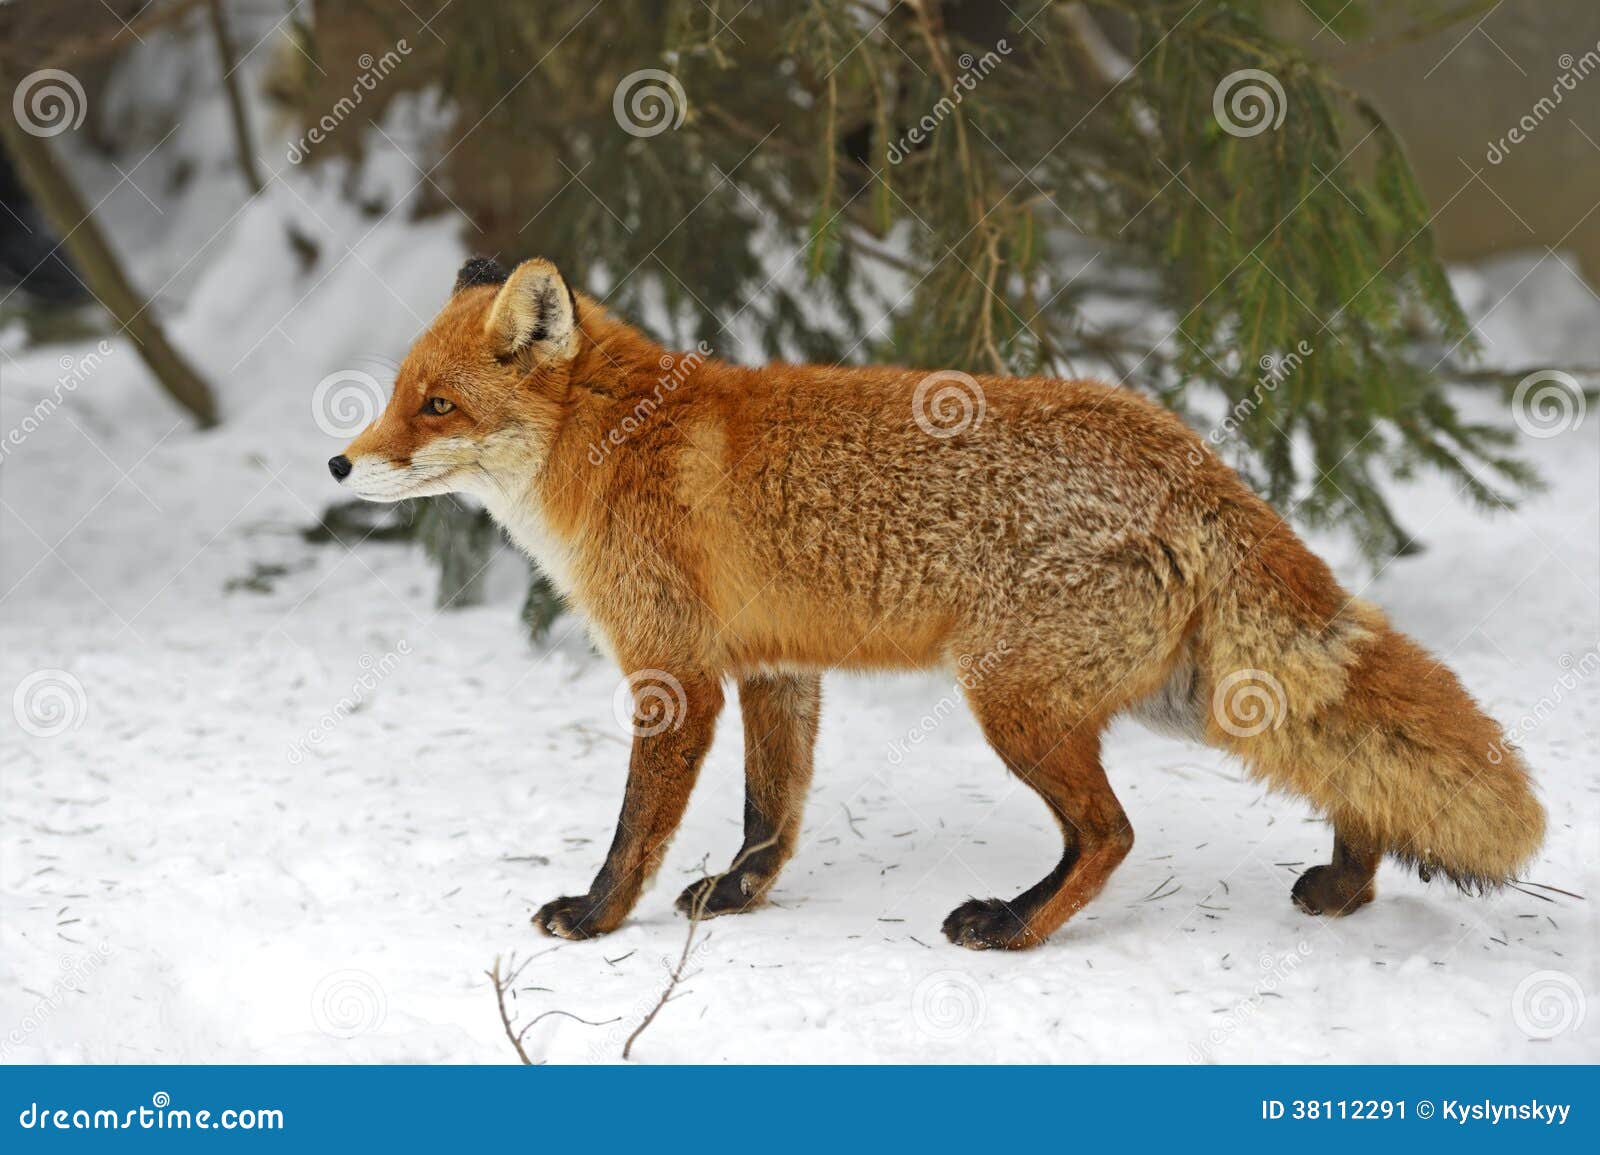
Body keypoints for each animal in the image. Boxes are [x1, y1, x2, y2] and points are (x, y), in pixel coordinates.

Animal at [329, 255, 1545, 950]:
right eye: (396, 397)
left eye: (435, 406)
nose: (341, 465)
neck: (616, 445)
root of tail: (1188, 455)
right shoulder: (776, 668)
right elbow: (769, 815)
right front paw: (736, 899)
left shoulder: (675, 675)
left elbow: (637, 828)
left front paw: (594, 918)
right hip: (1178, 698)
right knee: (1346, 766)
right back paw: (1349, 880)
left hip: (1014, 701)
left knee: (1112, 833)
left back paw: (1012, 926)